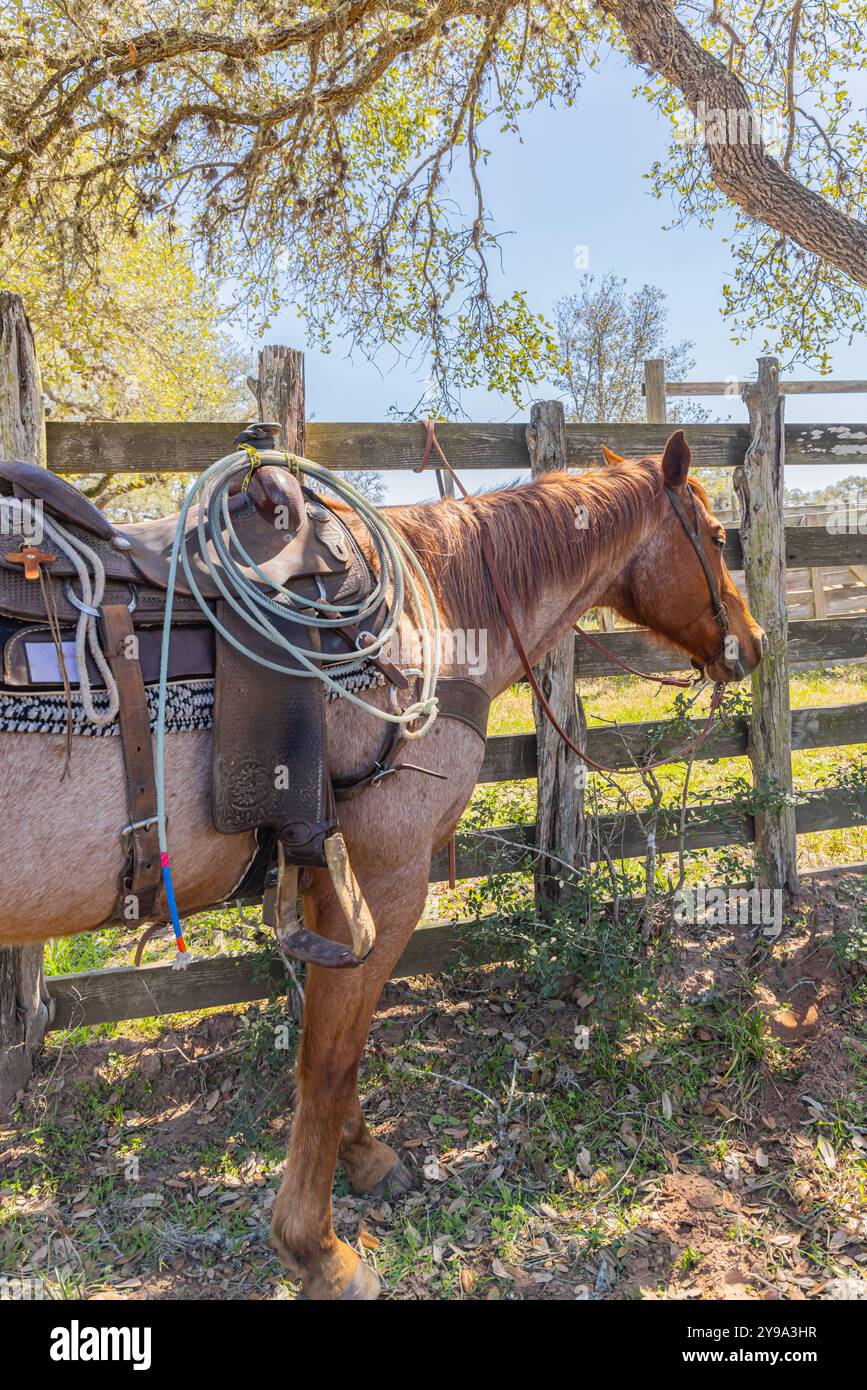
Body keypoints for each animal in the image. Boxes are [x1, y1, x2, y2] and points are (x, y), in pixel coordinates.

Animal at [0, 429, 764, 1299]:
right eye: (713, 538)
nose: (753, 645)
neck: (434, 612)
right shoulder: (388, 877)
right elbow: (331, 1058)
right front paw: (320, 1250)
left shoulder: (323, 873)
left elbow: (325, 1042)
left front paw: (363, 1159)